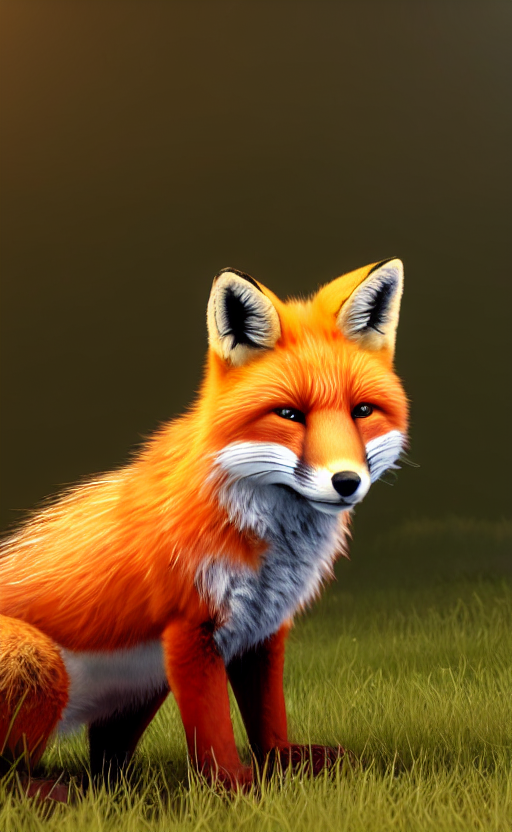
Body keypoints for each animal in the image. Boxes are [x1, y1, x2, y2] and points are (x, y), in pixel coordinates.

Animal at [0, 258, 408, 791]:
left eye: (361, 411)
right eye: (289, 414)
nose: (346, 481)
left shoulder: (263, 630)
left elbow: (267, 717)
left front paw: (282, 763)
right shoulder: (191, 630)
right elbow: (212, 729)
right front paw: (233, 787)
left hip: (141, 682)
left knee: (105, 755)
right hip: (38, 660)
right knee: (11, 774)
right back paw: (53, 793)